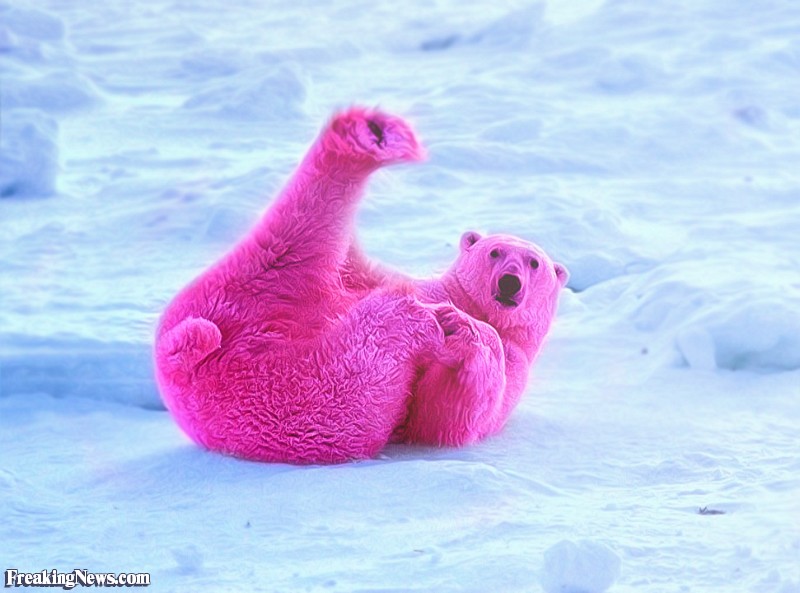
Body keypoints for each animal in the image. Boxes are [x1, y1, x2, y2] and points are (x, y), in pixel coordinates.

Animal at [154, 106, 568, 464]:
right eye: (496, 252)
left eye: (533, 263)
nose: (511, 282)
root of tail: (188, 372)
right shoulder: (377, 276)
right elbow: (354, 268)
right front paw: (456, 321)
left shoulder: (517, 361)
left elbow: (446, 418)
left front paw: (462, 329)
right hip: (237, 294)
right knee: (295, 243)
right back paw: (372, 134)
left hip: (289, 399)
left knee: (349, 371)